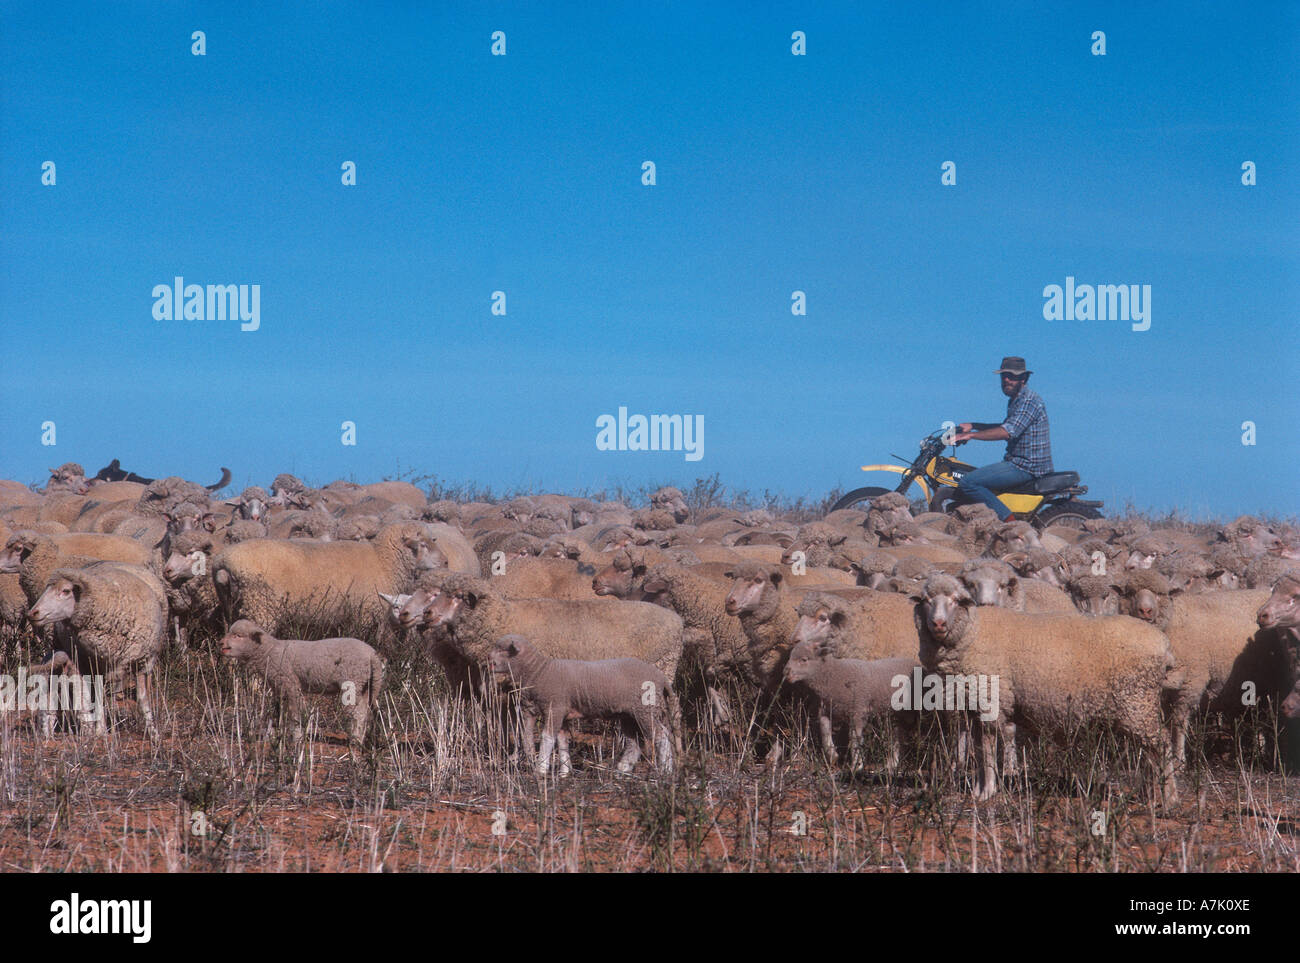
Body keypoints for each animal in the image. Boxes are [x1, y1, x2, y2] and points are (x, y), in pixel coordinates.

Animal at [27, 561, 169, 740]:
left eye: (65, 591)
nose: (32, 613)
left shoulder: (145, 663)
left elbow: (143, 699)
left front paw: (153, 733)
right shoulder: (94, 664)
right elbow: (97, 697)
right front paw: (100, 730)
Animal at [211, 522, 440, 634]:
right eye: (423, 544)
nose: (444, 562)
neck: (383, 559)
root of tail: (223, 565)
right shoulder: (365, 616)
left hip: (231, 609)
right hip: (260, 609)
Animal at [218, 619, 385, 750]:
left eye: (238, 636)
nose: (221, 643)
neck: (268, 652)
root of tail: (372, 655)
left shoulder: (290, 683)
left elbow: (294, 713)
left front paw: (297, 739)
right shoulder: (278, 687)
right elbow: (278, 712)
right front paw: (276, 735)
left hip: (353, 681)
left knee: (358, 714)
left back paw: (355, 742)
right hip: (365, 685)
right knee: (363, 711)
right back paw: (359, 739)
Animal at [488, 634, 676, 776]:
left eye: (502, 649)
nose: (488, 660)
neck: (539, 671)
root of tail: (661, 678)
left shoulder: (554, 707)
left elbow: (547, 737)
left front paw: (541, 769)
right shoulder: (562, 712)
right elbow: (562, 741)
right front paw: (564, 771)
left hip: (646, 708)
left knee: (661, 735)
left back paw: (666, 770)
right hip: (629, 714)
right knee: (635, 741)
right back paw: (622, 769)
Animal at [782, 645, 919, 772]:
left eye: (804, 659)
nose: (785, 672)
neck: (834, 677)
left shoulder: (858, 711)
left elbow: (855, 740)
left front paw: (857, 766)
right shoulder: (827, 710)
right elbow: (824, 731)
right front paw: (833, 755)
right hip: (894, 715)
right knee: (897, 736)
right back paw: (892, 764)